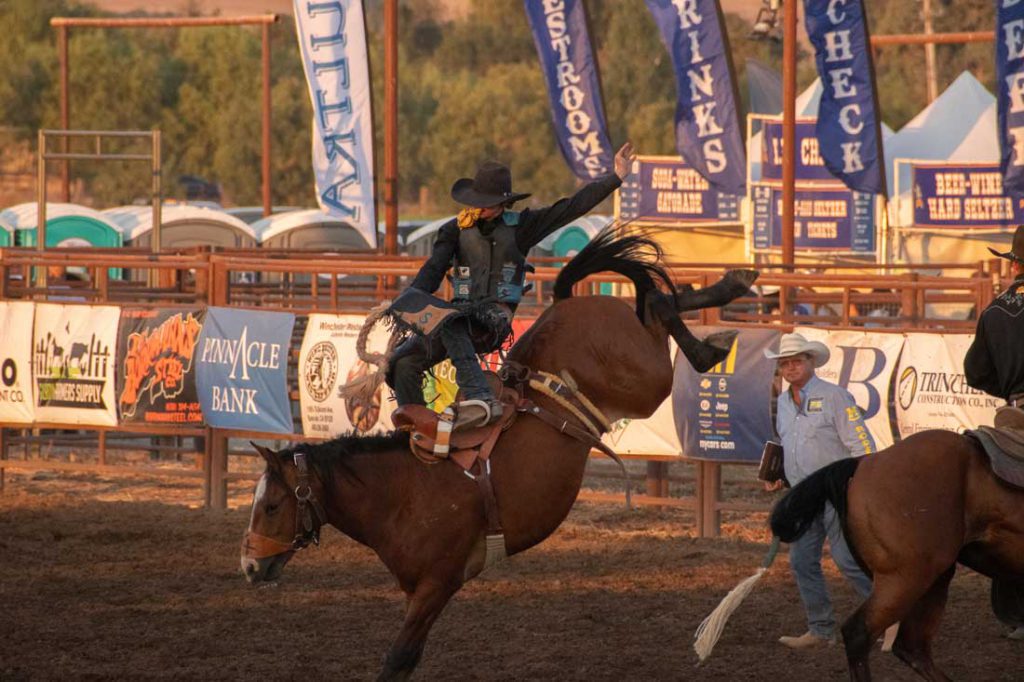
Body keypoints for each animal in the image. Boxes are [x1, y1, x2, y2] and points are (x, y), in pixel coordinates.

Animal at [239, 230, 756, 680]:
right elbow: (407, 659)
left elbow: (397, 658)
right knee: (654, 304)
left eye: (272, 506)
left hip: (646, 380)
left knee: (659, 306)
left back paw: (715, 336)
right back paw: (731, 288)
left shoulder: (437, 584)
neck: (401, 492)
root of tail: (566, 304)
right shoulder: (419, 592)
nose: (248, 567)